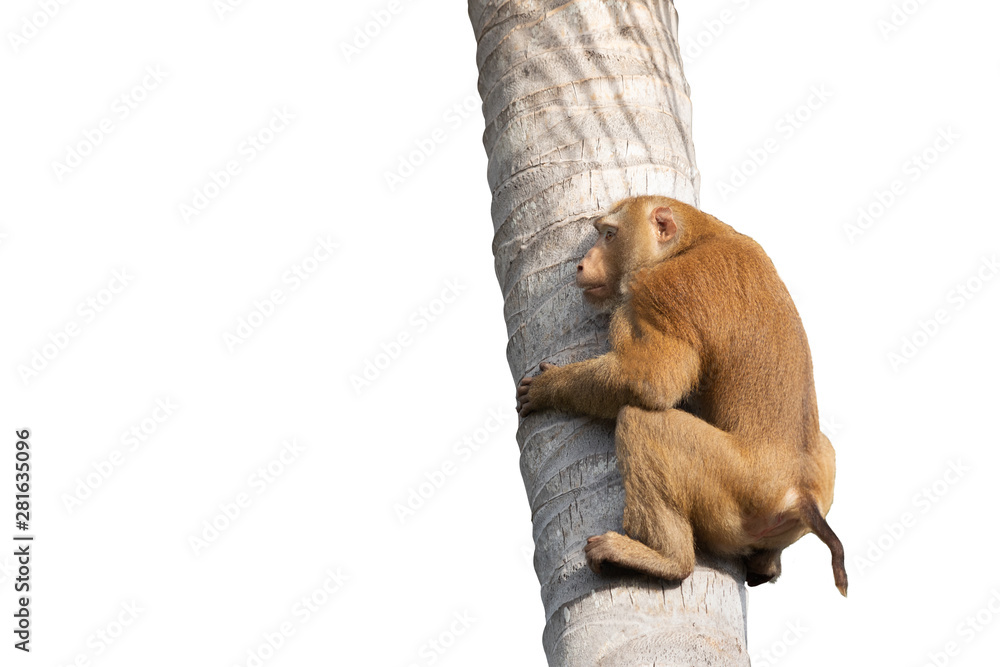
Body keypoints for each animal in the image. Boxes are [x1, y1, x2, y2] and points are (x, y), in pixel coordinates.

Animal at [516, 196, 847, 596]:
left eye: (609, 235)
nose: (581, 264)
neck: (697, 238)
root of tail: (800, 495)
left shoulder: (657, 289)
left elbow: (652, 379)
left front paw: (549, 388)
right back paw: (765, 563)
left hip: (740, 487)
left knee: (641, 421)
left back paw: (664, 560)